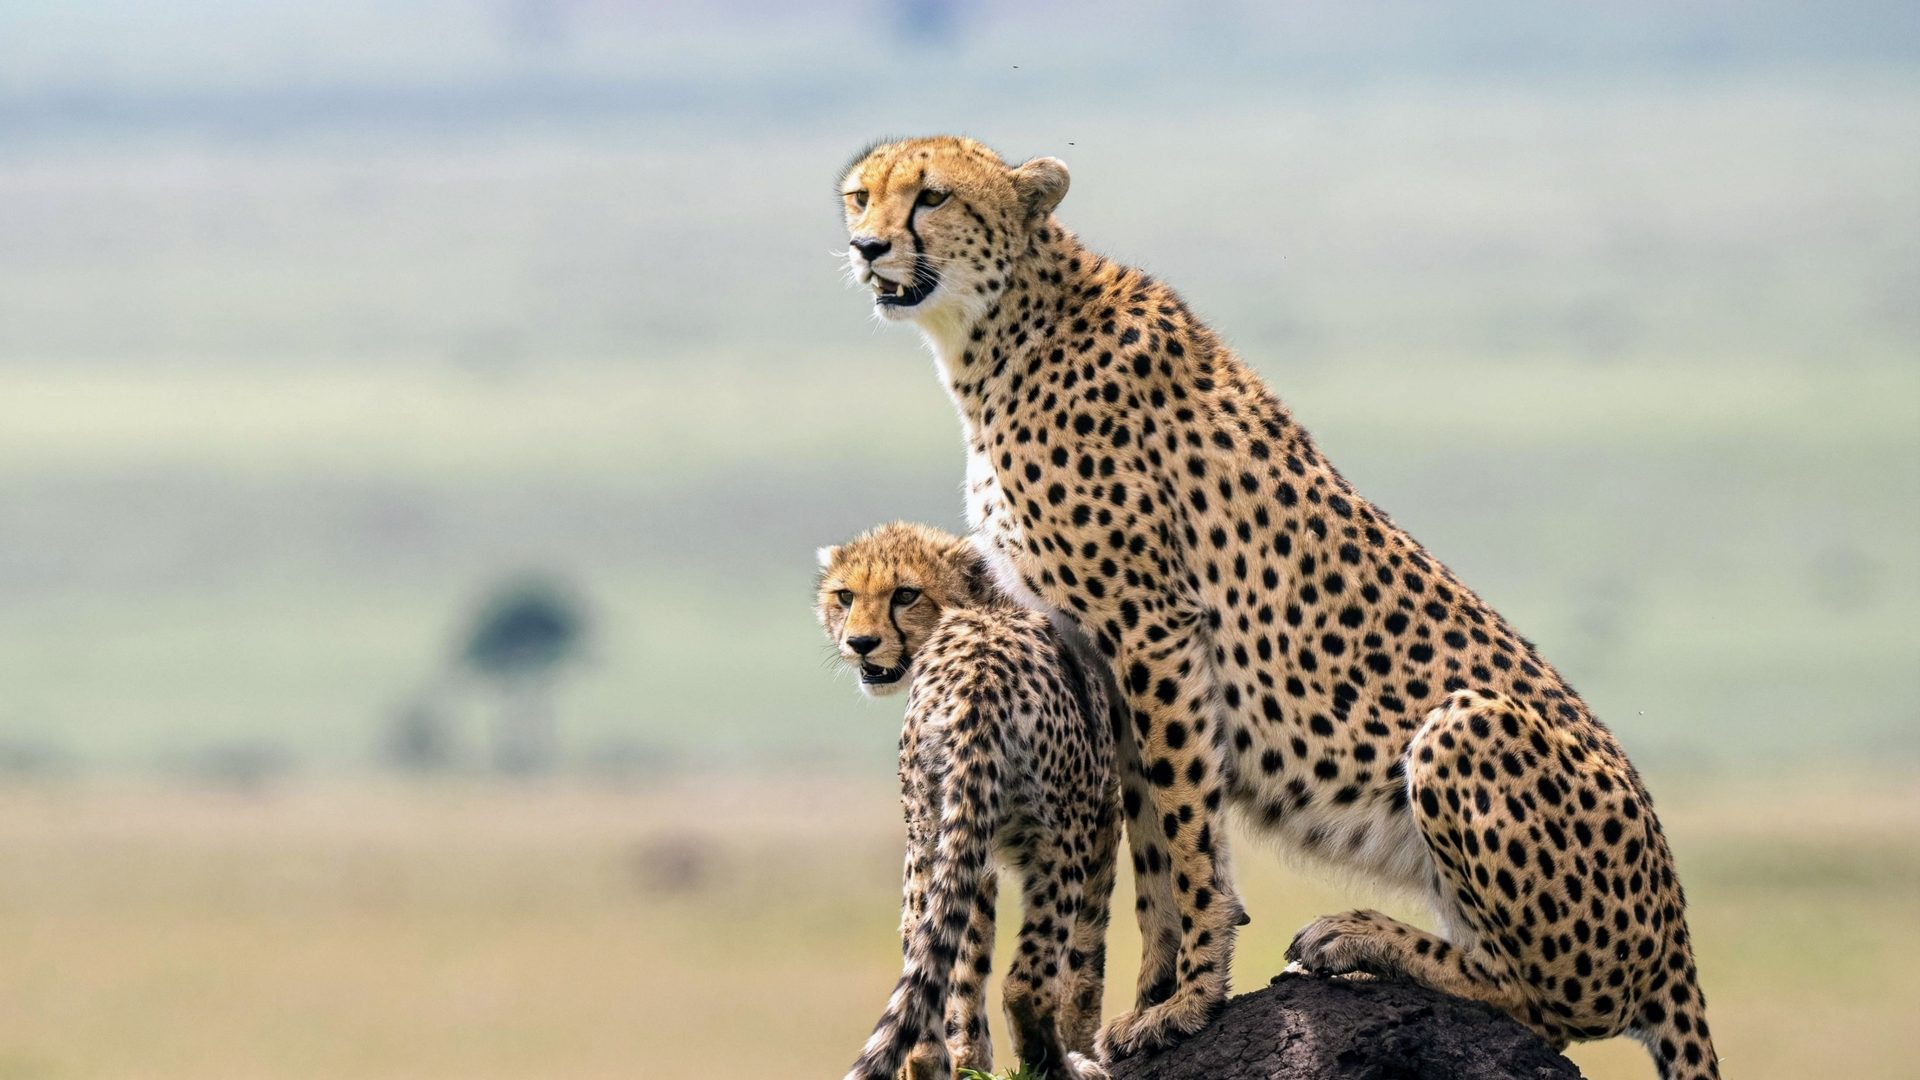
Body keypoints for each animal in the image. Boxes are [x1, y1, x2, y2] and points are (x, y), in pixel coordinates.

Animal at [817, 521, 1122, 1080]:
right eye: (845, 596)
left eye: (906, 594)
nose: (861, 643)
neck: (982, 603)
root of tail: (980, 677)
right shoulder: (1102, 818)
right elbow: (1086, 956)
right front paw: (1084, 1045)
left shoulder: (968, 845)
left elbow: (964, 962)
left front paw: (969, 1061)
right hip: (1062, 837)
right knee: (1027, 980)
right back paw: (1063, 1065)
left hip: (928, 833)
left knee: (923, 961)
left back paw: (928, 1060)